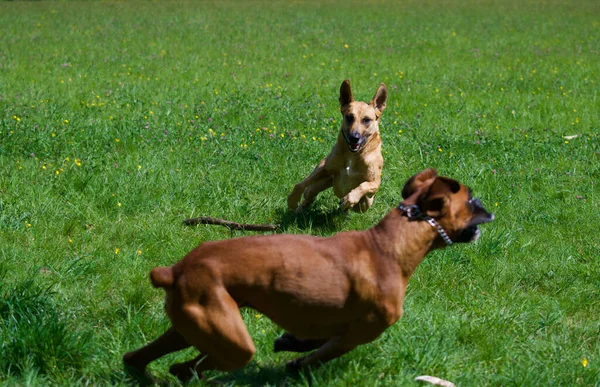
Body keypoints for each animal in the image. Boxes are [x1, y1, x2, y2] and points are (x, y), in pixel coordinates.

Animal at [124, 168, 494, 384]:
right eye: (471, 200)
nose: (488, 209)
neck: (388, 244)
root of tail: (174, 270)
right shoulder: (362, 332)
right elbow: (322, 352)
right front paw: (297, 362)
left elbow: (315, 337)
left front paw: (290, 342)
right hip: (232, 343)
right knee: (189, 368)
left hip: (190, 328)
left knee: (148, 359)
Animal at [288, 79, 390, 214]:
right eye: (349, 117)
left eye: (367, 120)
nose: (354, 137)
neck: (353, 155)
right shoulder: (325, 169)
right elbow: (302, 183)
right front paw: (292, 199)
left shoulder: (374, 183)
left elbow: (364, 186)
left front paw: (349, 199)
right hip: (318, 183)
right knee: (309, 193)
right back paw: (300, 208)